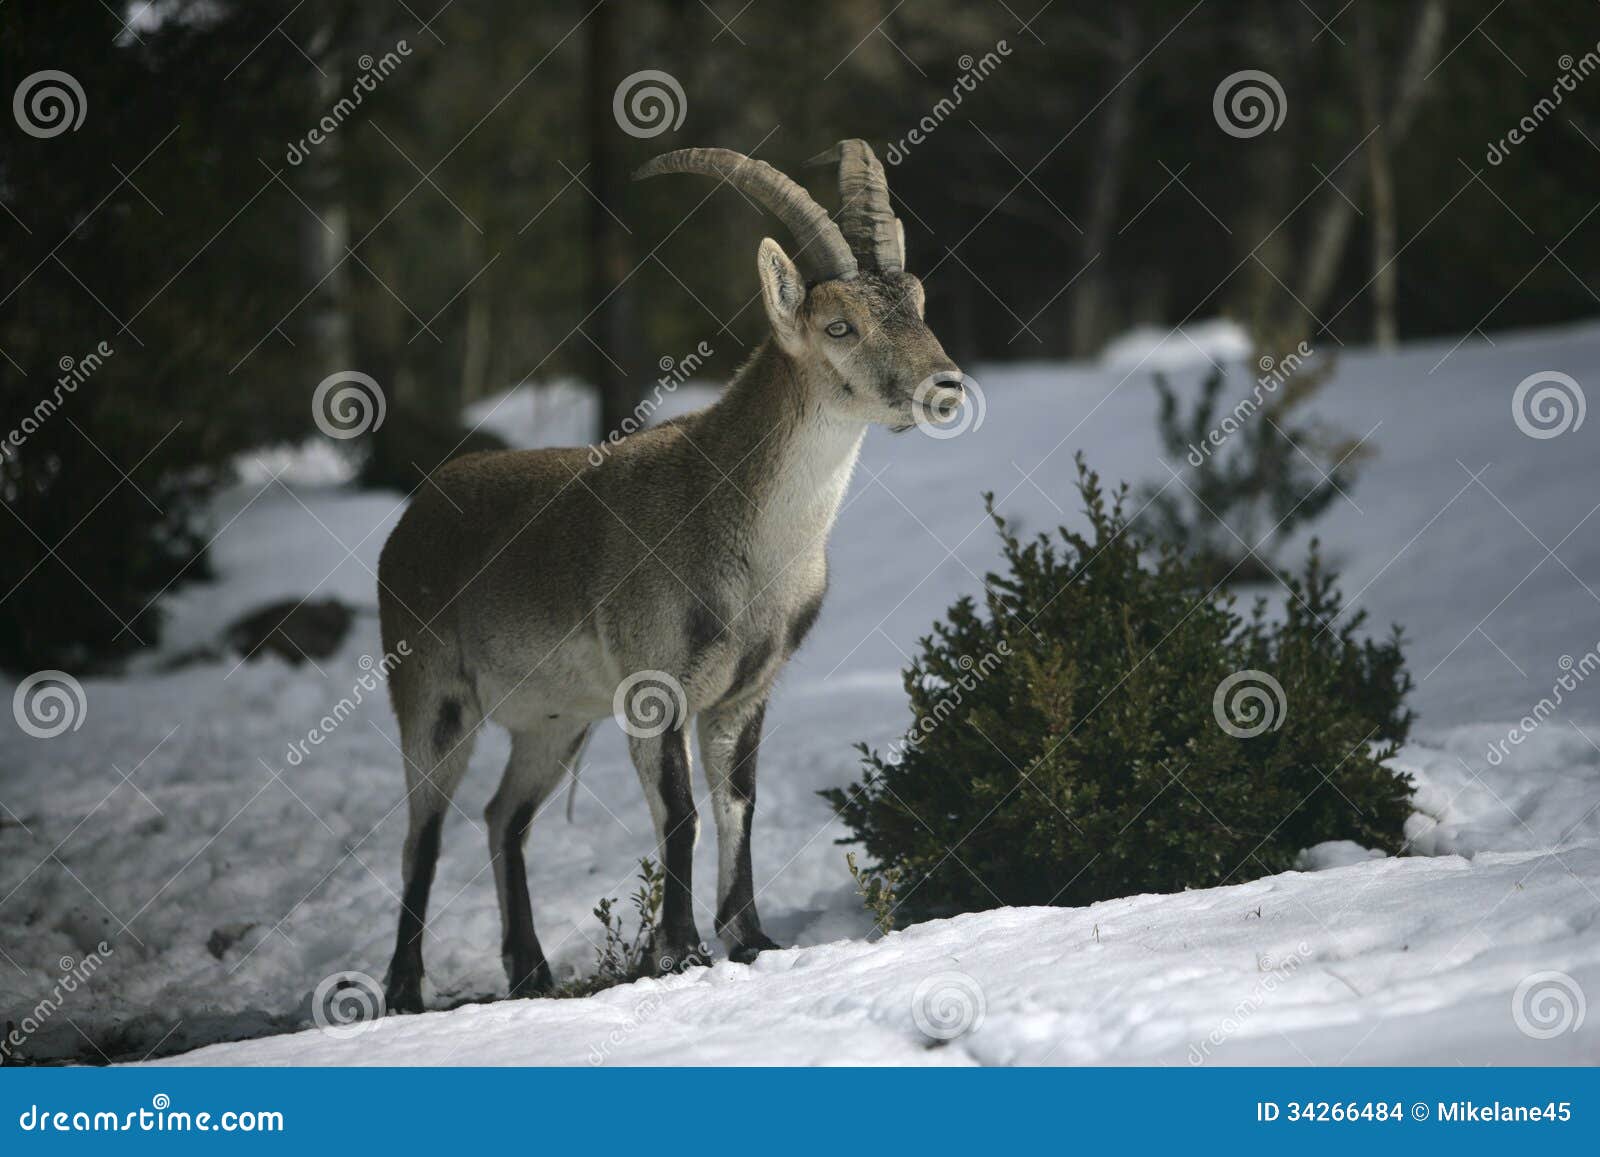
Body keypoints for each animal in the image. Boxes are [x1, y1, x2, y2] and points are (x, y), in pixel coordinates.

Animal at [376, 140, 964, 1012]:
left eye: (917, 301)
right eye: (840, 323)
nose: (945, 386)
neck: (752, 544)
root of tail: (412, 519)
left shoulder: (745, 692)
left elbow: (737, 804)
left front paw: (749, 936)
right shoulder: (654, 687)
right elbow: (680, 812)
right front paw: (679, 949)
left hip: (552, 722)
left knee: (501, 815)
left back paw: (531, 968)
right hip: (432, 696)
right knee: (424, 832)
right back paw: (404, 989)